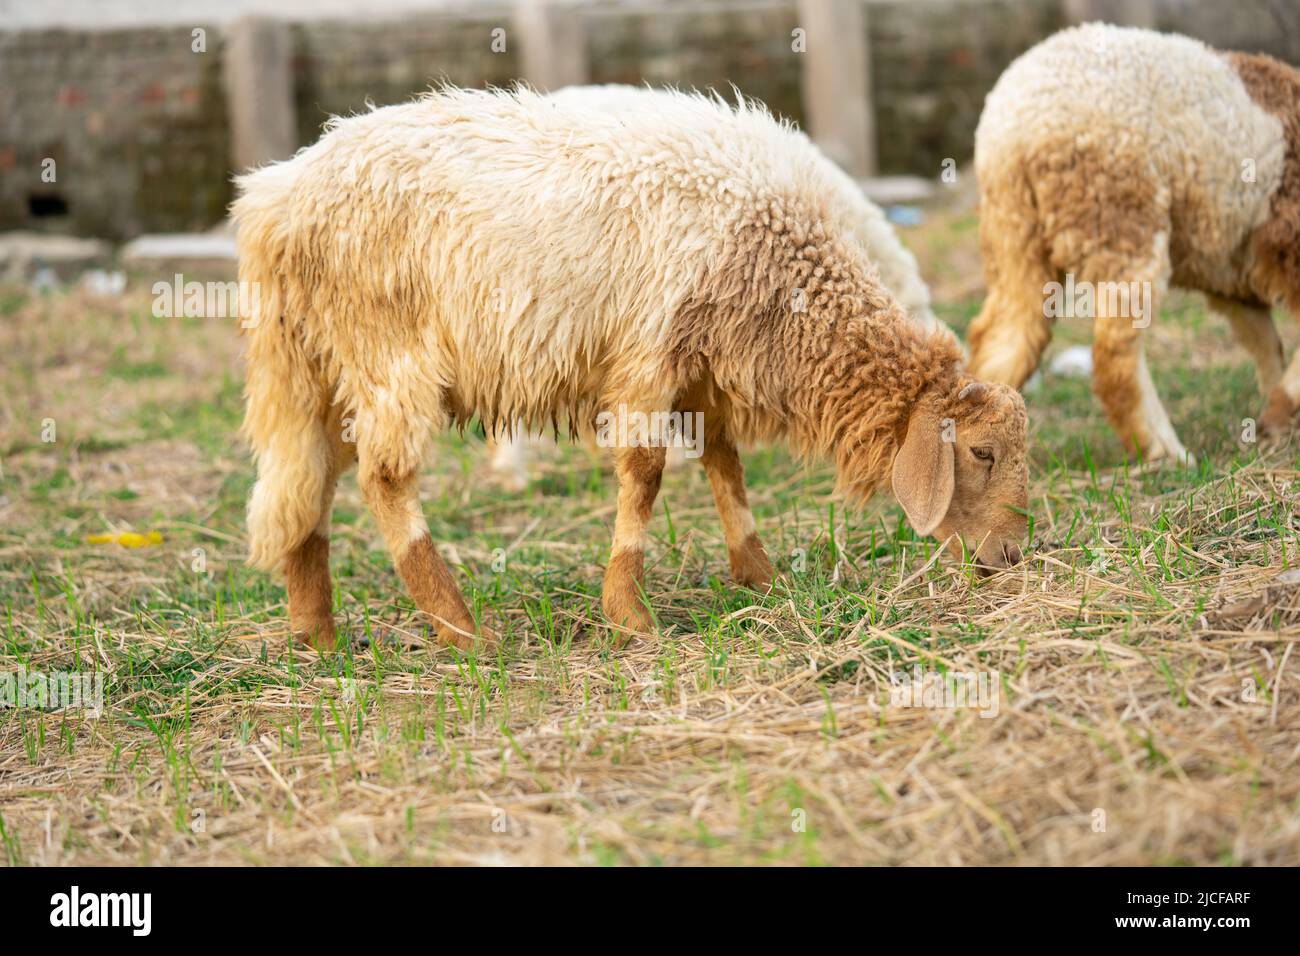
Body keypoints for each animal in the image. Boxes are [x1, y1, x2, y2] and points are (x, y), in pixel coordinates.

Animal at [967, 23, 1300, 463]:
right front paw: (1282, 411)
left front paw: (1276, 419)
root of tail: (1011, 125)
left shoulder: (1232, 268)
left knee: (1005, 340)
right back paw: (1163, 449)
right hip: (1120, 215)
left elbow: (1265, 341)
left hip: (1013, 234)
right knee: (1115, 355)